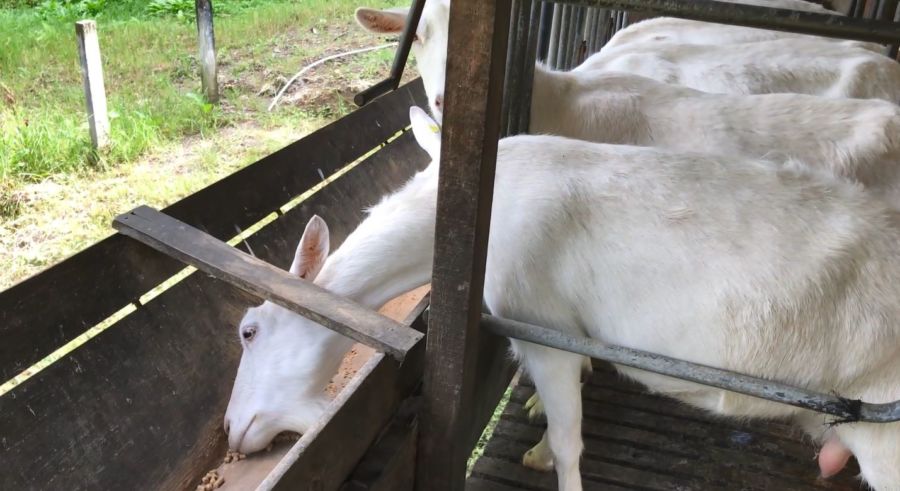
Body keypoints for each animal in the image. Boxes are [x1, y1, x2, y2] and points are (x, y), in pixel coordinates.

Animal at [224, 106, 900, 491]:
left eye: (248, 330)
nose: (233, 431)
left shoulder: (538, 322)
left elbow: (574, 444)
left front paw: (552, 458)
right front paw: (537, 442)